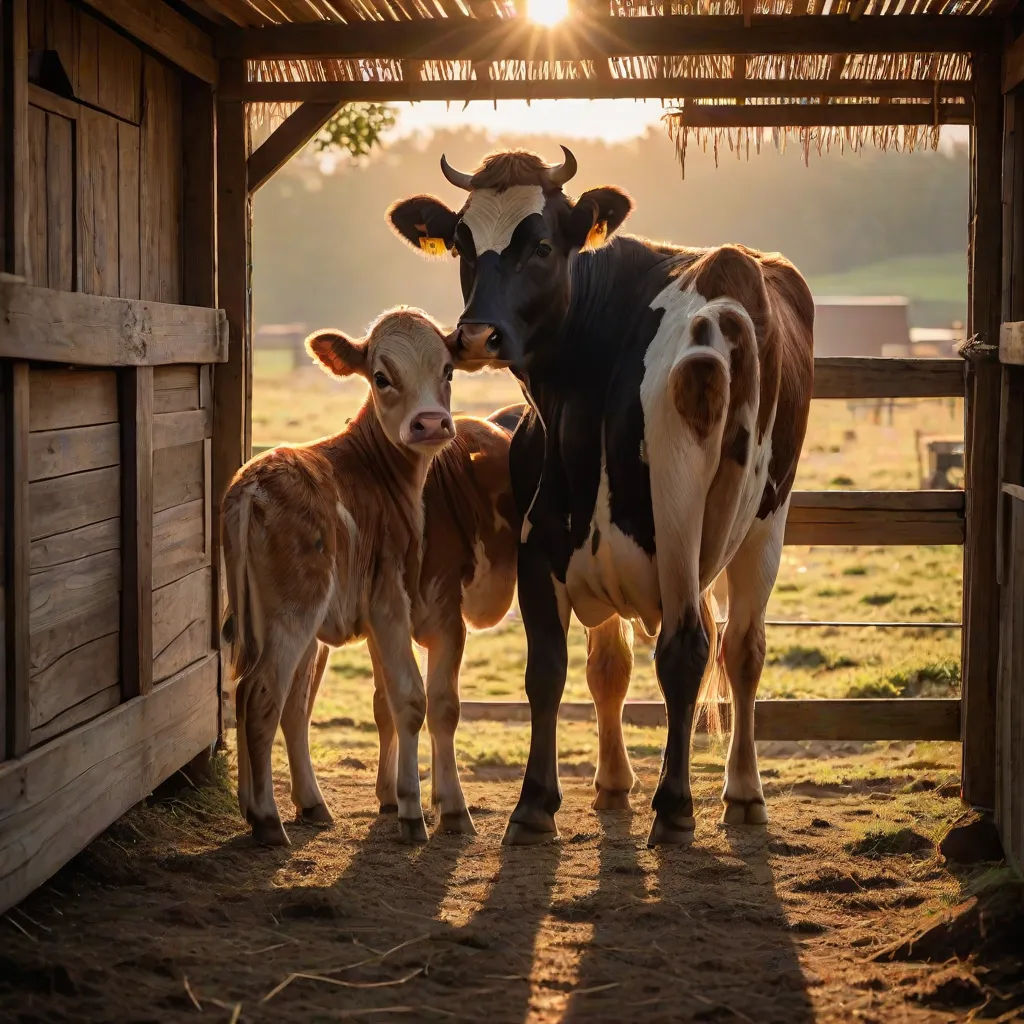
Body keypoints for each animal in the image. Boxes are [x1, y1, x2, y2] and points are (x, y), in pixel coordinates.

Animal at [221, 309, 519, 846]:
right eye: (382, 377)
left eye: (448, 370)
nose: (430, 422)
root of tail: (253, 484)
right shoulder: (394, 604)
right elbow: (418, 701)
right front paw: (425, 812)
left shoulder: (383, 620)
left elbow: (390, 703)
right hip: (293, 618)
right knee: (261, 696)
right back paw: (268, 820)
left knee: (271, 700)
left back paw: (276, 806)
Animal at [388, 148, 815, 847]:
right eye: (461, 243)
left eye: (540, 245)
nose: (476, 336)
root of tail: (727, 301)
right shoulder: (574, 542)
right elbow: (594, 669)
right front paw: (604, 786)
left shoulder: (542, 548)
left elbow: (552, 669)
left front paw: (536, 801)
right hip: (753, 523)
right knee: (734, 649)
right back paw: (736, 794)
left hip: (709, 518)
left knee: (701, 648)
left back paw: (688, 803)